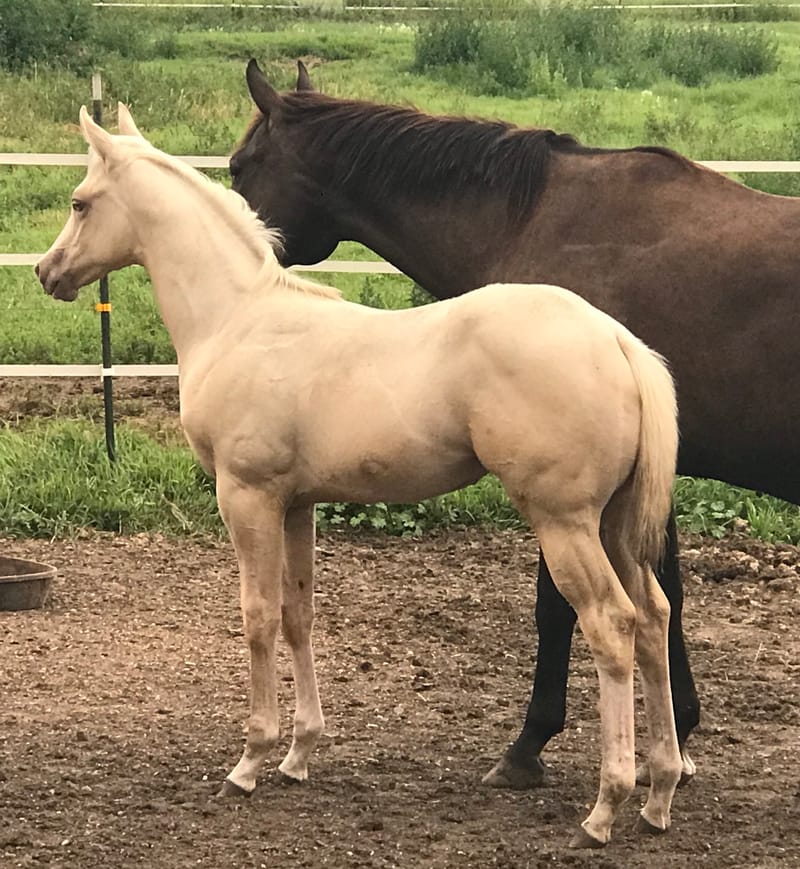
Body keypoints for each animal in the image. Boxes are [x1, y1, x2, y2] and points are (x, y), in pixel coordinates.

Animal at [36, 104, 681, 849]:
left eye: (80, 202)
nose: (47, 272)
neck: (239, 321)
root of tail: (617, 339)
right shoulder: (296, 505)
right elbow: (298, 614)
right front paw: (298, 753)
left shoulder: (246, 497)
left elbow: (257, 616)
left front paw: (250, 760)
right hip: (614, 525)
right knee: (654, 617)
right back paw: (660, 793)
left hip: (565, 522)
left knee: (612, 624)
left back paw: (605, 808)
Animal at [230, 59, 800, 790]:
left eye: (241, 165)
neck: (535, 221)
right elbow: (664, 593)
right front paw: (678, 736)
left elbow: (558, 606)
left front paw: (530, 742)